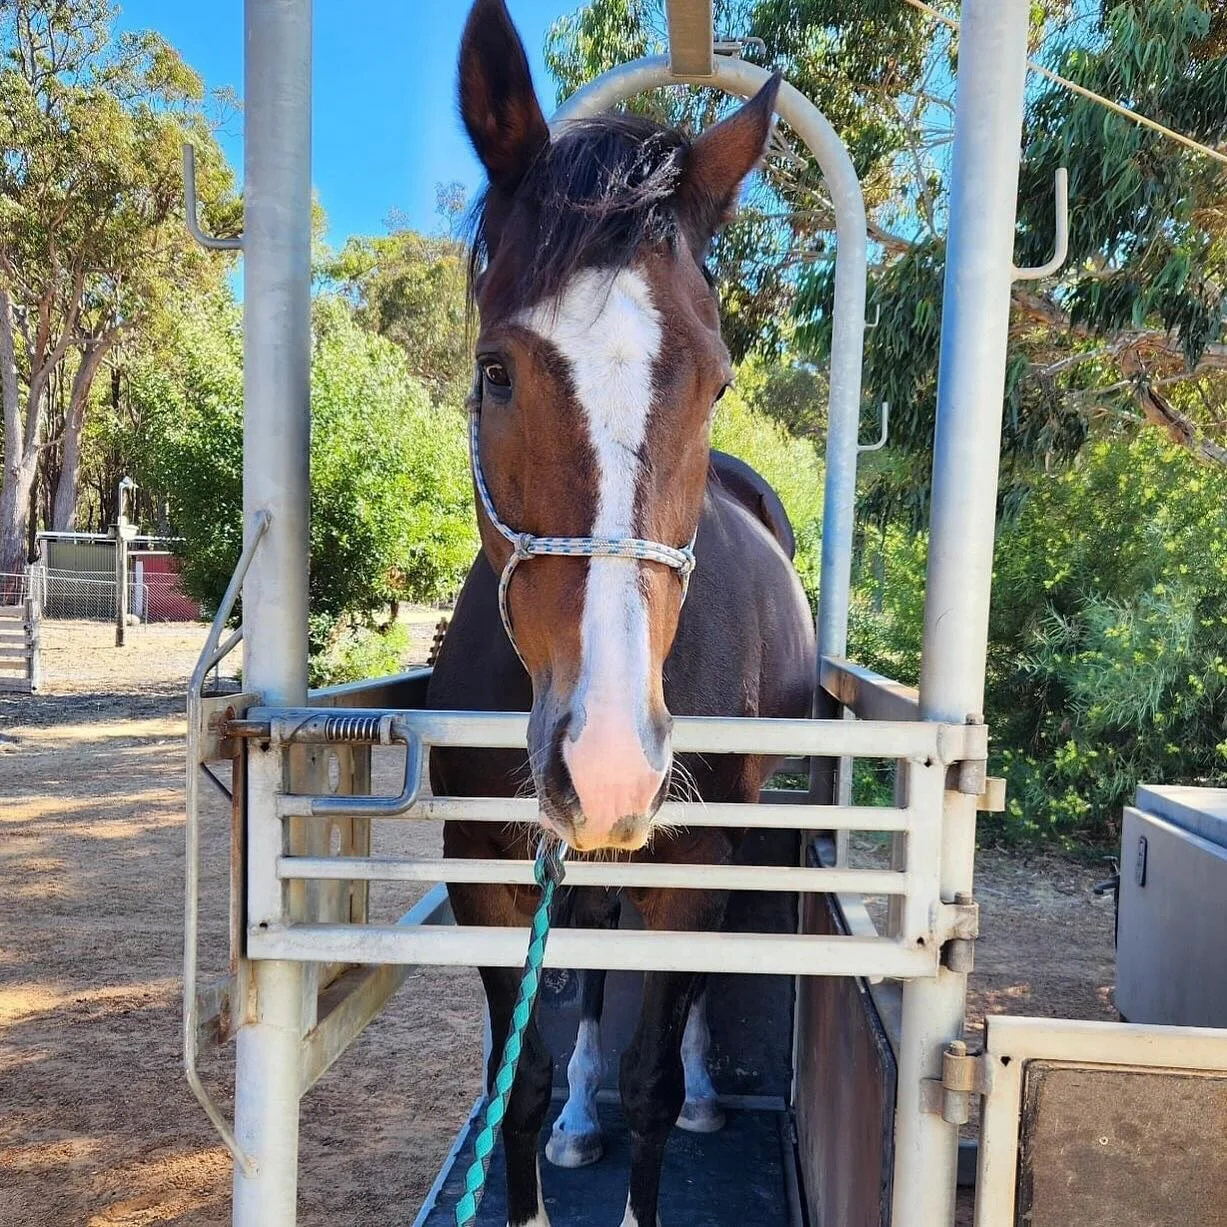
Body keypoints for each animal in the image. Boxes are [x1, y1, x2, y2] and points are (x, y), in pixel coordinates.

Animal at [427, 2, 816, 1224]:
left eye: (717, 380)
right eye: (495, 370)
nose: (604, 758)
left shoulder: (691, 869)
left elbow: (654, 1069)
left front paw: (660, 1105)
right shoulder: (485, 872)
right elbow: (522, 1077)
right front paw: (560, 1125)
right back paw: (582, 1118)